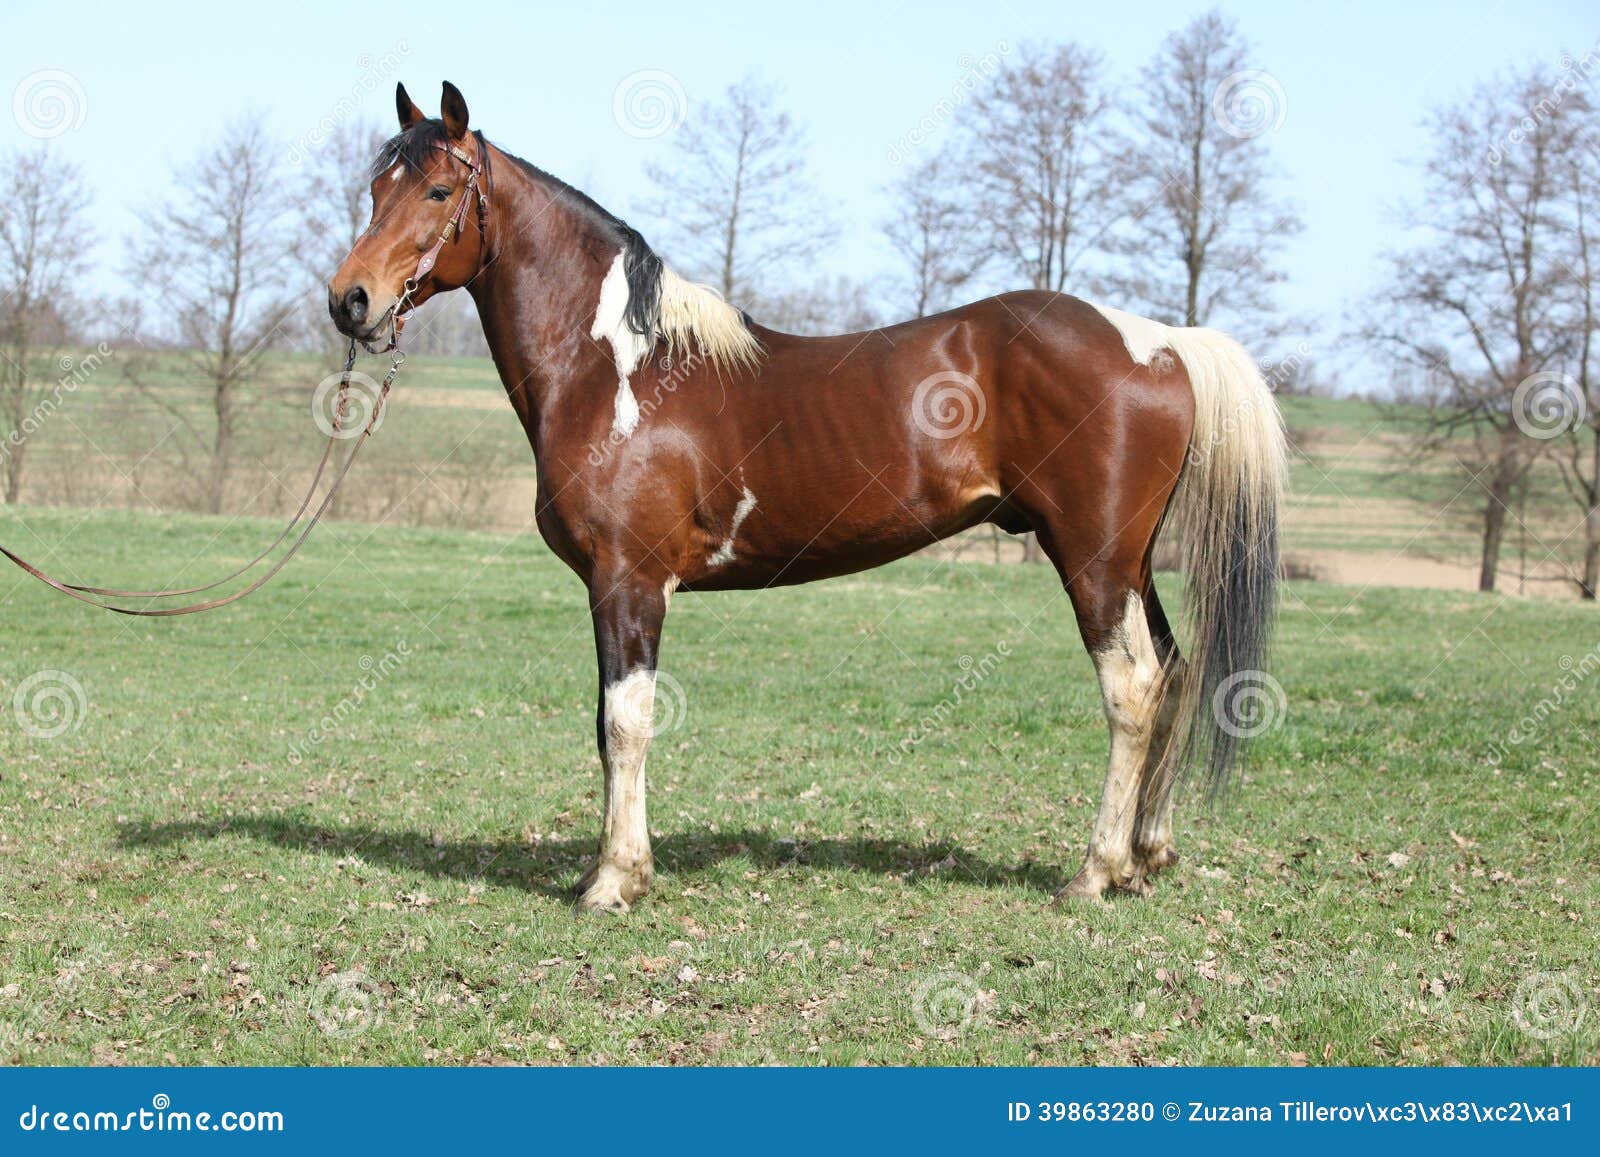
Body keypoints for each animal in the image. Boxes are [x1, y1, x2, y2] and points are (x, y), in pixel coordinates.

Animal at [328, 82, 1289, 914]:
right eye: (376, 187)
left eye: (439, 188)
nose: (350, 300)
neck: (619, 369)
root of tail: (1159, 340)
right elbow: (604, 727)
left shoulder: (628, 580)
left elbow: (625, 725)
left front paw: (615, 880)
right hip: (1132, 562)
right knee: (1175, 672)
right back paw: (1146, 856)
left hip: (1093, 559)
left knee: (1132, 689)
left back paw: (1094, 871)